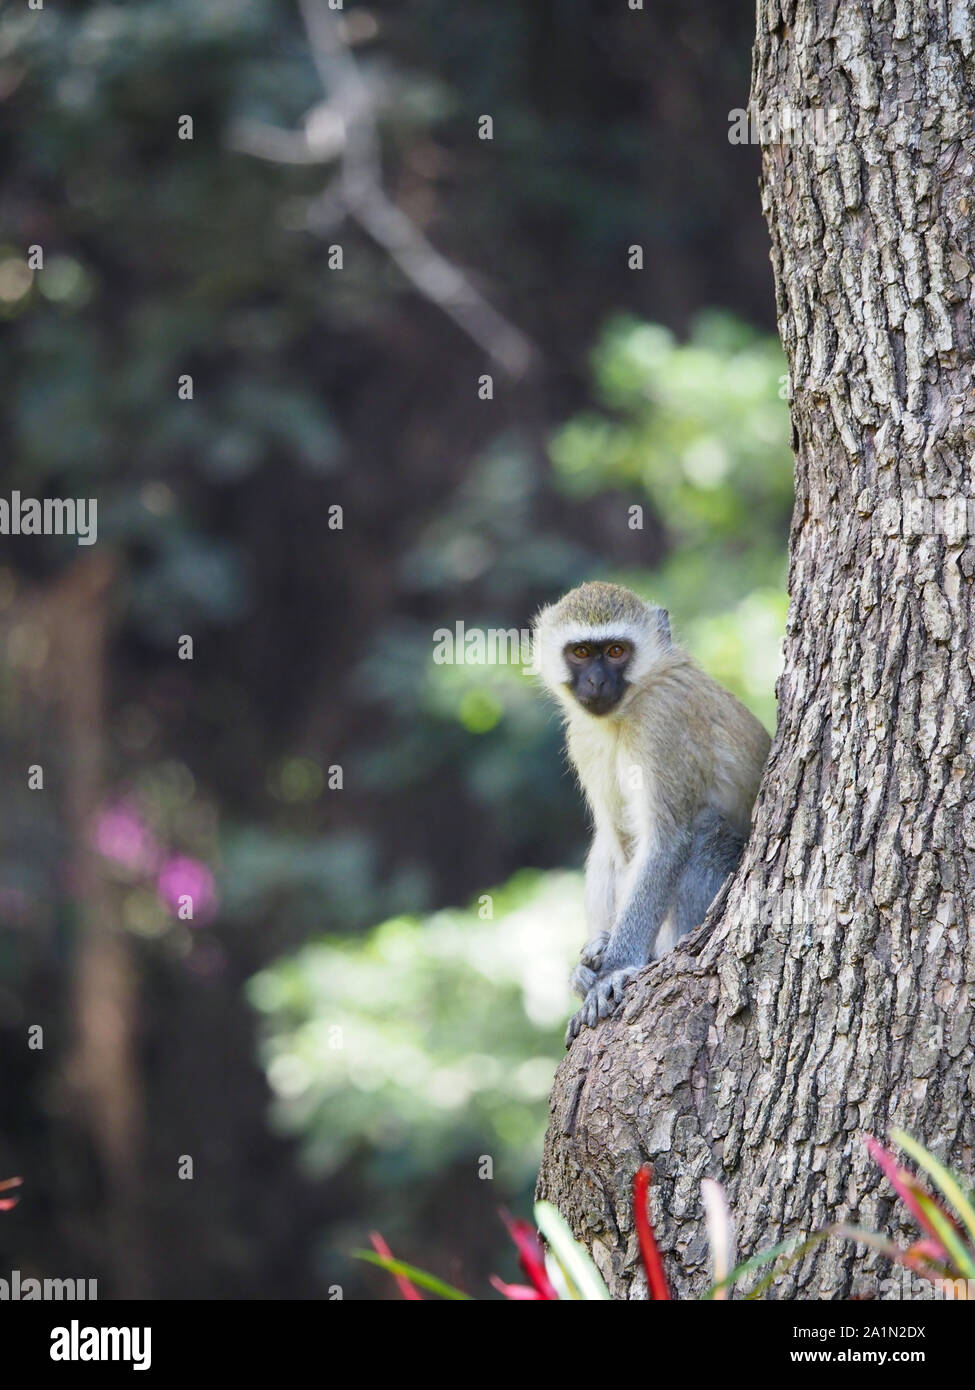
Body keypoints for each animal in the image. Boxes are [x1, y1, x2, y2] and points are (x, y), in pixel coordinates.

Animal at [533, 581, 771, 1044]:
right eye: (582, 653)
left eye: (616, 652)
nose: (595, 681)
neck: (627, 710)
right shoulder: (582, 737)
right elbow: (623, 845)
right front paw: (598, 960)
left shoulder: (664, 721)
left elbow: (667, 843)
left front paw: (615, 969)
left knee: (704, 834)